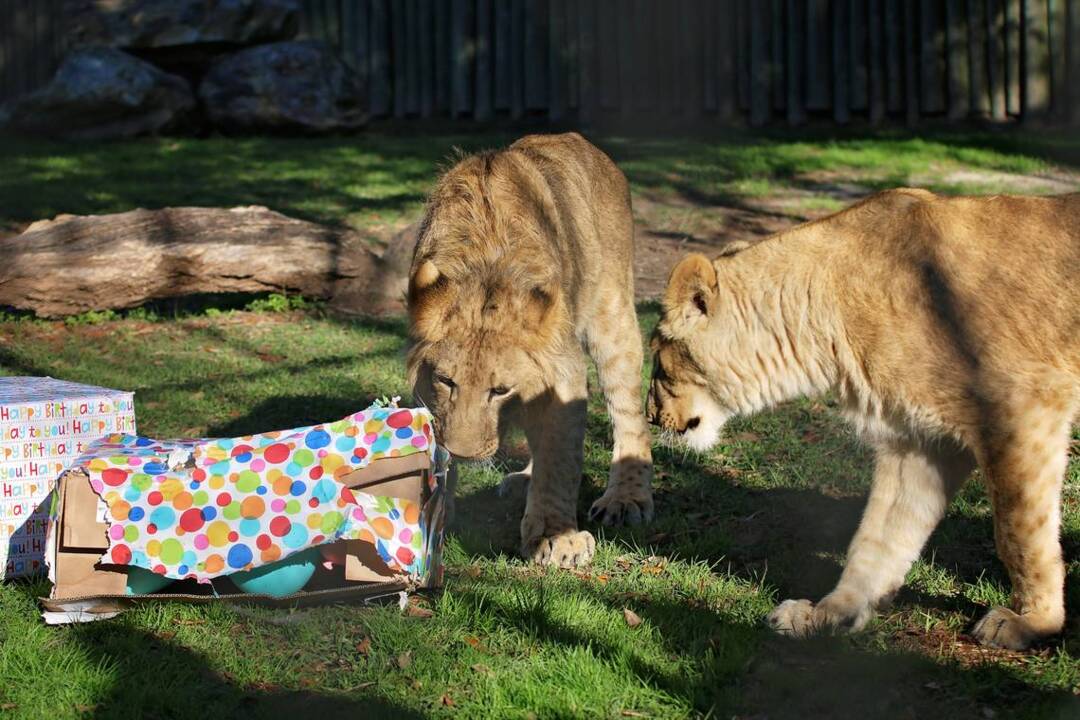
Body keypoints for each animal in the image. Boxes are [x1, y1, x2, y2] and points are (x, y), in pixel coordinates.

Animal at [406, 133, 654, 568]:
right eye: (446, 381)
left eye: (500, 390)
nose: (465, 453)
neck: (485, 264)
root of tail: (580, 140)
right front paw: (435, 511)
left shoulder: (565, 365)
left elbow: (560, 458)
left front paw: (556, 538)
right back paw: (524, 480)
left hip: (612, 318)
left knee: (628, 414)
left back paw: (626, 499)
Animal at [648, 188, 1080, 649]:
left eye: (657, 358)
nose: (652, 417)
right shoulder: (918, 442)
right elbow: (878, 538)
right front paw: (828, 613)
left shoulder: (1024, 408)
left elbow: (1020, 531)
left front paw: (1033, 622)